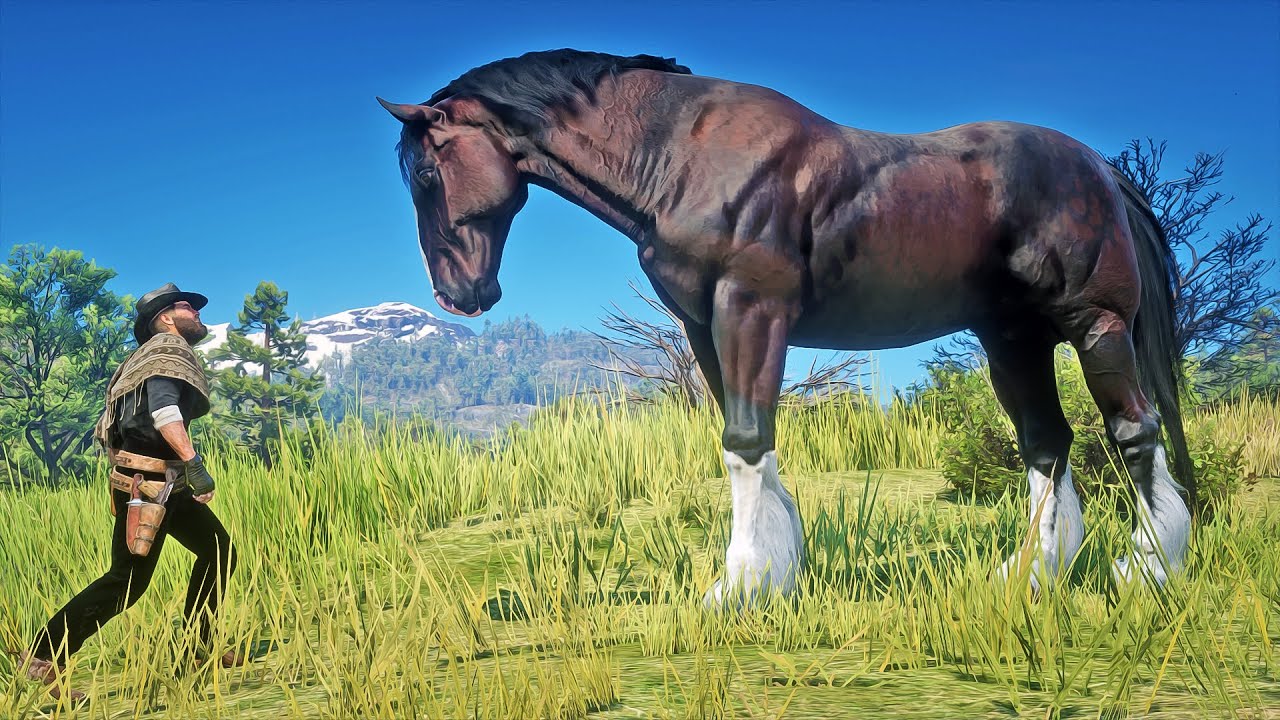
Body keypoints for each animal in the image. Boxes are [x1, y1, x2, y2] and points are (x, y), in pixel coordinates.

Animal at [378, 49, 1194, 606]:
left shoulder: (752, 308)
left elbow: (744, 441)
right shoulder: (707, 326)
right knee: (1047, 448)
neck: (684, 154)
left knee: (1133, 431)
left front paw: (739, 586)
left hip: (1095, 326)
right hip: (1013, 343)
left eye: (427, 174)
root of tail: (1098, 168)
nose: (458, 294)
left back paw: (1151, 567)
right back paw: (1029, 577)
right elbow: (752, 444)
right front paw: (772, 571)